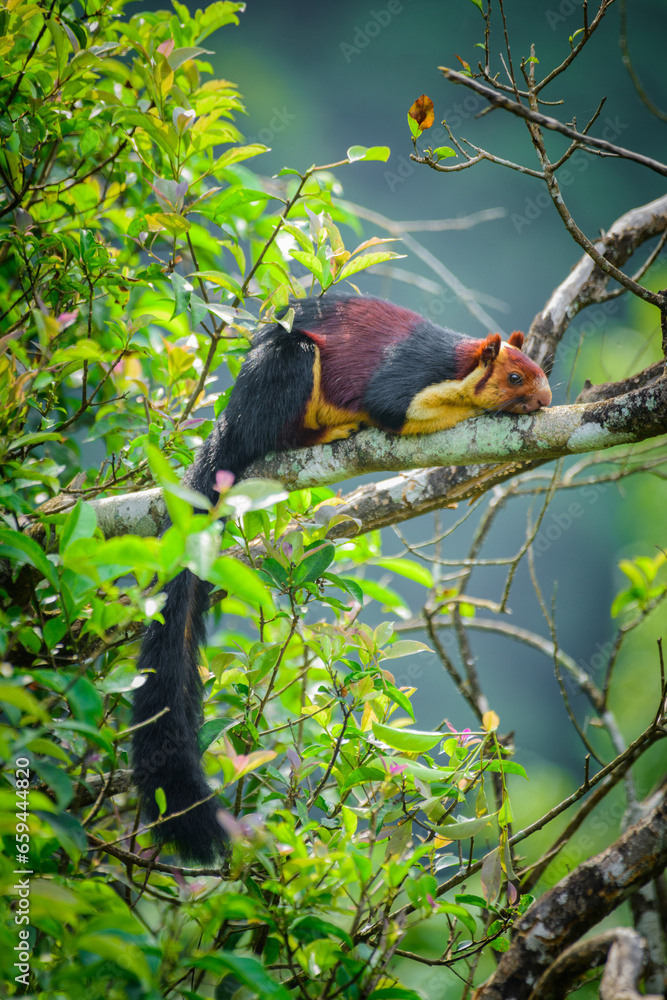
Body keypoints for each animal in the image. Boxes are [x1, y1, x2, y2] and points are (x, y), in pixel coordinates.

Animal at [131, 294, 551, 864]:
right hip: (287, 369)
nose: (545, 400)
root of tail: (228, 424)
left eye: (538, 370)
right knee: (279, 433)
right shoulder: (403, 383)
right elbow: (395, 413)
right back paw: (326, 431)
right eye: (513, 376)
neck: (453, 365)